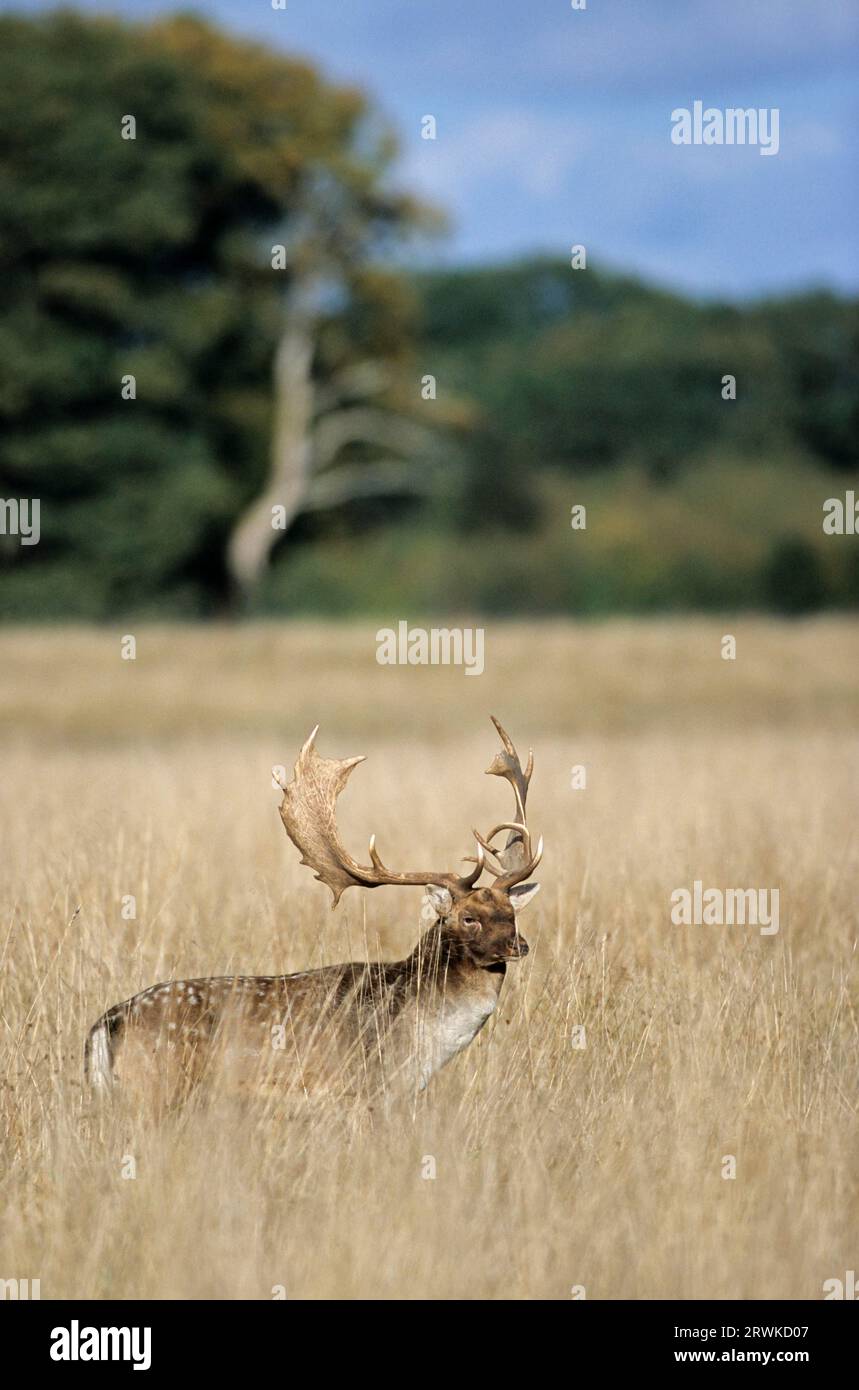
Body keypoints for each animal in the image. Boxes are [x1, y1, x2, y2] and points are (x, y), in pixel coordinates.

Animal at [85, 717, 542, 1110]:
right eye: (469, 918)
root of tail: (107, 1023)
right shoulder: (367, 1089)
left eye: (511, 912)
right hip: (156, 1088)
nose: (518, 945)